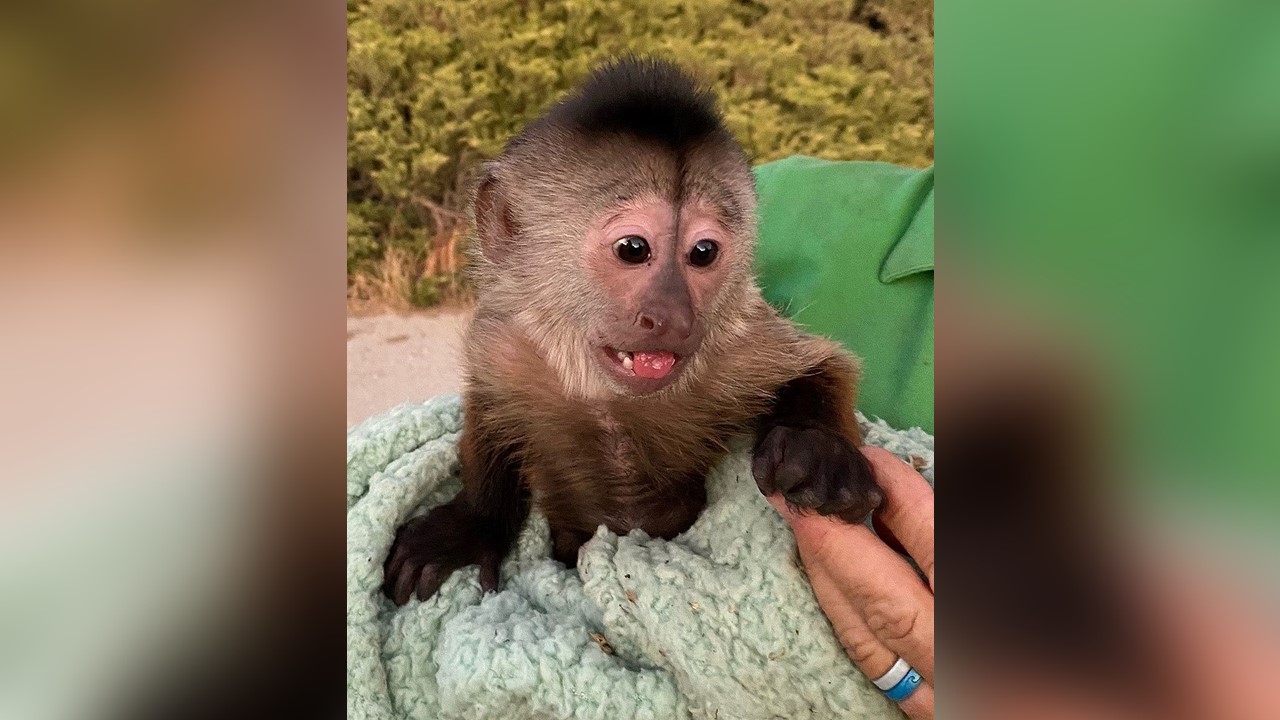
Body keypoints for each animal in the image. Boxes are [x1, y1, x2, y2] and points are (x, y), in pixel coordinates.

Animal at [383, 57, 883, 606]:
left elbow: (820, 364)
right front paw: (471, 524)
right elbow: (491, 411)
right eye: (633, 249)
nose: (674, 316)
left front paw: (818, 448)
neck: (609, 398)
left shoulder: (736, 343)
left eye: (703, 253)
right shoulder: (506, 345)